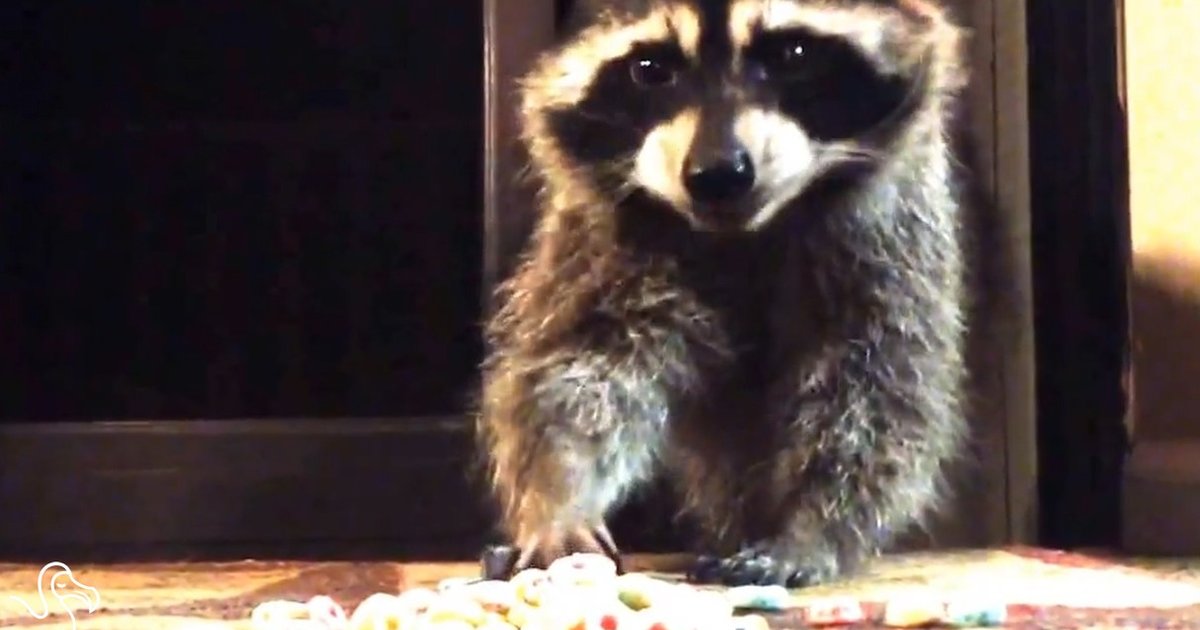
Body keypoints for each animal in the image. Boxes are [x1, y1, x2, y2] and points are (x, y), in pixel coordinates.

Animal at [476, 0, 970, 587]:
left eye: (792, 54)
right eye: (650, 70)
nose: (717, 174)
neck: (744, 234)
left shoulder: (888, 240)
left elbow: (878, 395)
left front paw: (811, 527)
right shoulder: (605, 240)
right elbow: (577, 371)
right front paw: (560, 497)